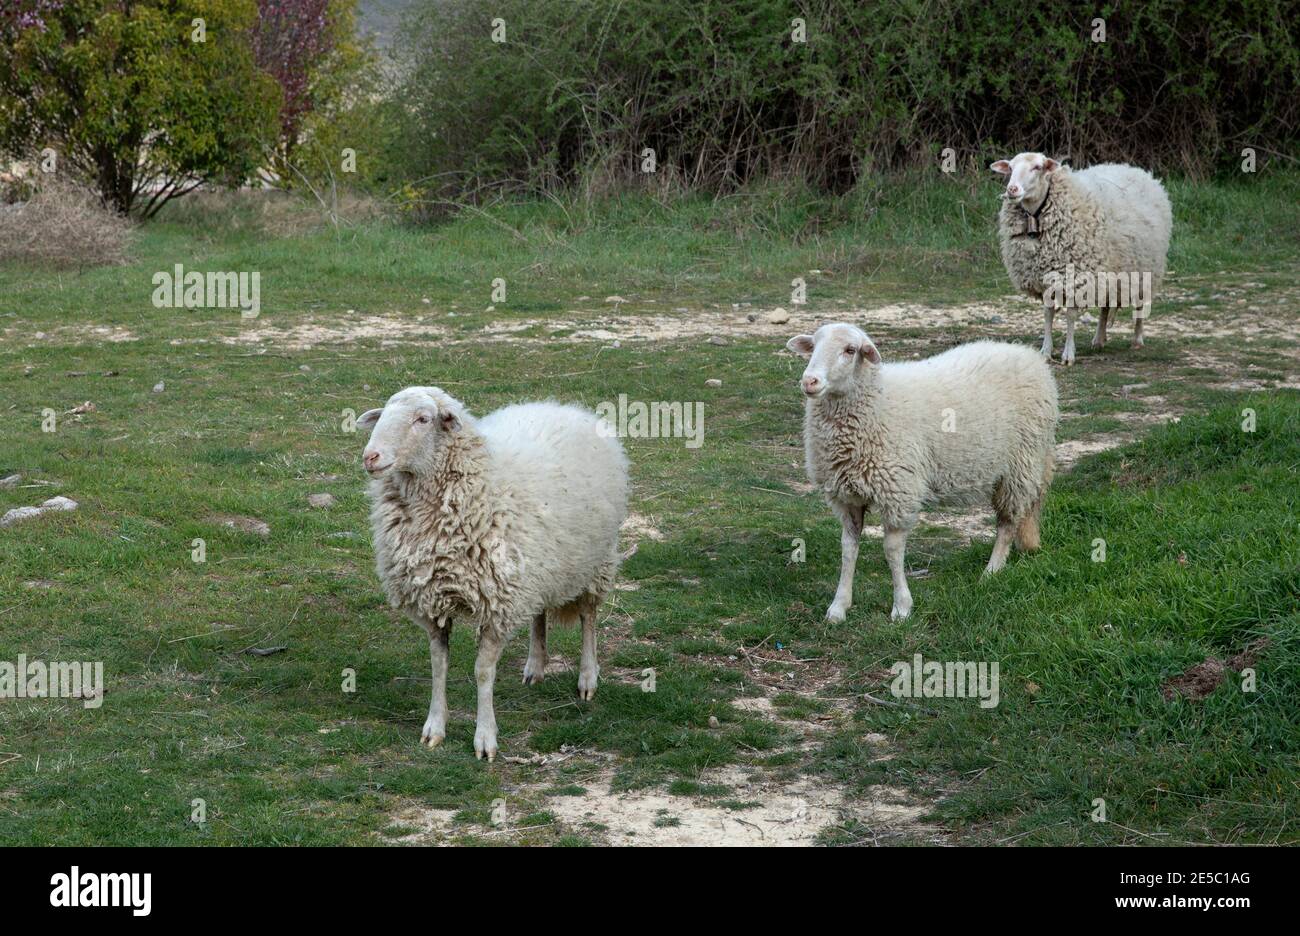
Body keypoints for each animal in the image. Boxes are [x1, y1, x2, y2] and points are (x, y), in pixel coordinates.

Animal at [358, 387, 629, 761]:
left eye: (423, 419)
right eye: (382, 414)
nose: (371, 457)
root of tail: (564, 407)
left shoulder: (497, 604)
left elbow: (483, 671)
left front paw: (485, 738)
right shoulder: (435, 603)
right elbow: (438, 665)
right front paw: (434, 728)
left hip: (596, 561)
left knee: (588, 616)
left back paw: (588, 678)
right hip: (538, 569)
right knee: (539, 613)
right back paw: (535, 665)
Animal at [785, 324, 1058, 621]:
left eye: (850, 350)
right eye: (814, 346)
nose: (809, 381)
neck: (877, 402)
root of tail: (1026, 353)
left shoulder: (898, 492)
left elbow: (892, 551)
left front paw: (901, 607)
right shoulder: (846, 497)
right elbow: (848, 548)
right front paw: (839, 606)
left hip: (1020, 465)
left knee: (1007, 524)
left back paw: (991, 572)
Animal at [991, 153, 1172, 365]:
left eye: (1037, 167)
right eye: (1010, 168)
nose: (1012, 189)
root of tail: (1136, 170)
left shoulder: (1075, 279)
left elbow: (1070, 316)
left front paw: (1068, 355)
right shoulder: (1044, 278)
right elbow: (1047, 314)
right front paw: (1046, 351)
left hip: (1144, 271)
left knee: (1139, 305)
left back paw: (1137, 338)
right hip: (1109, 273)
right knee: (1105, 306)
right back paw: (1099, 339)